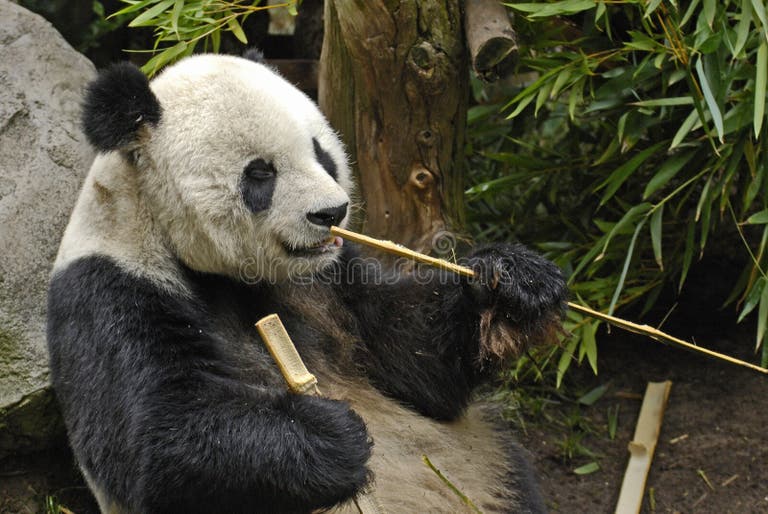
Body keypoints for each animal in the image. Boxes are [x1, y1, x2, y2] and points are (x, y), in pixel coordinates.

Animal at [46, 52, 567, 513]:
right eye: (260, 172)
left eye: (321, 153)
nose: (331, 213)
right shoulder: (114, 288)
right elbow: (154, 444)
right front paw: (333, 434)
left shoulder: (332, 280)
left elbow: (414, 360)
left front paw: (510, 281)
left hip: (483, 465)